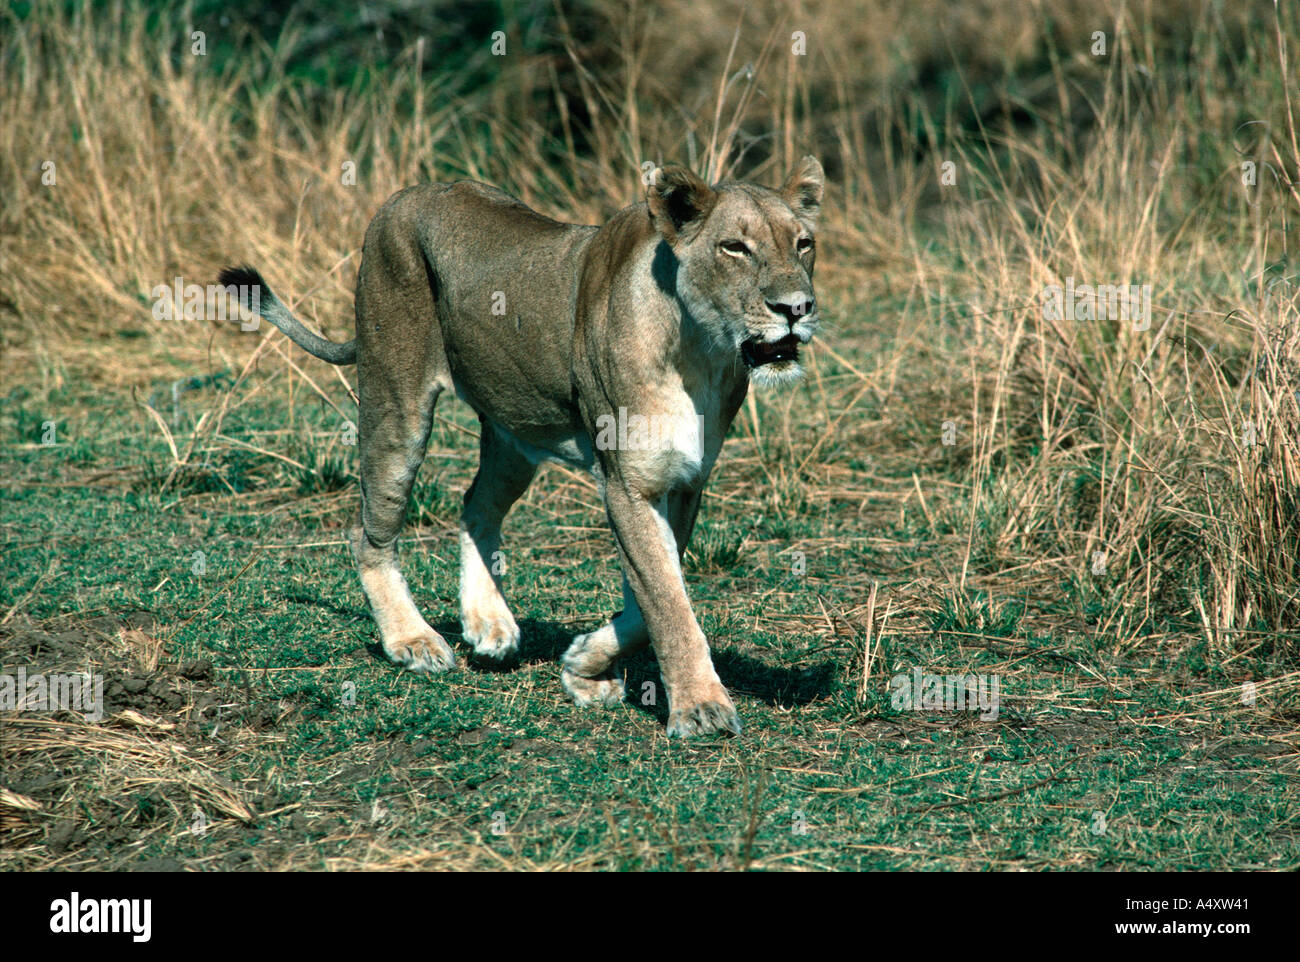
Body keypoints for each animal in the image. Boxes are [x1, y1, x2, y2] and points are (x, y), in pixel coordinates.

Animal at [220, 156, 823, 737]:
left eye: (803, 244)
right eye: (734, 247)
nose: (797, 308)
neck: (702, 352)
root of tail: (400, 198)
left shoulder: (683, 482)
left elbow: (648, 600)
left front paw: (583, 666)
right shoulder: (629, 484)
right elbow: (668, 605)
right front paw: (700, 709)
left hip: (515, 434)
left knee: (475, 506)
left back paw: (488, 624)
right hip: (397, 401)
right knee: (368, 532)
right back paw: (412, 641)